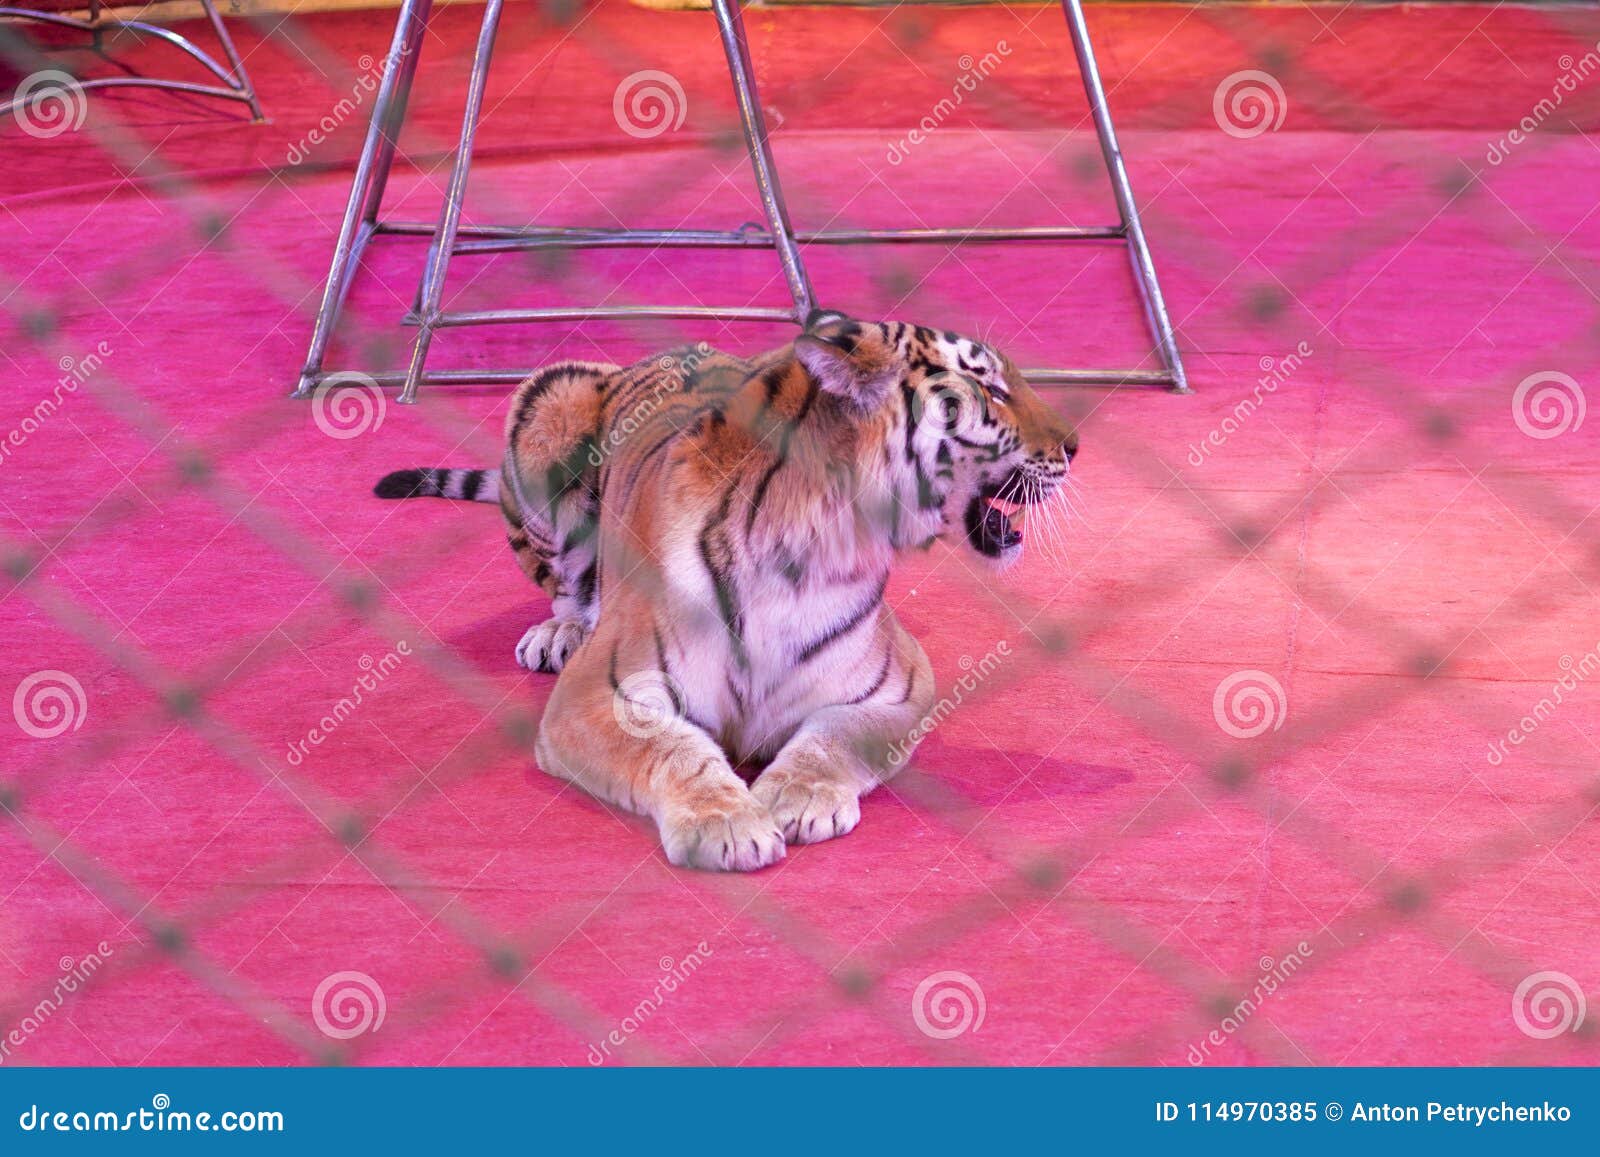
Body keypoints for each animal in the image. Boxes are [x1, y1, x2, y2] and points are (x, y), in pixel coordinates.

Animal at [375, 310, 1078, 871]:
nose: (1074, 445)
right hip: (551, 395)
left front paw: (798, 796)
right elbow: (670, 749)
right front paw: (730, 824)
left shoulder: (901, 685)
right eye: (990, 387)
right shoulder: (595, 697)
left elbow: (836, 733)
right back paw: (560, 633)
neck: (819, 543)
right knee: (567, 588)